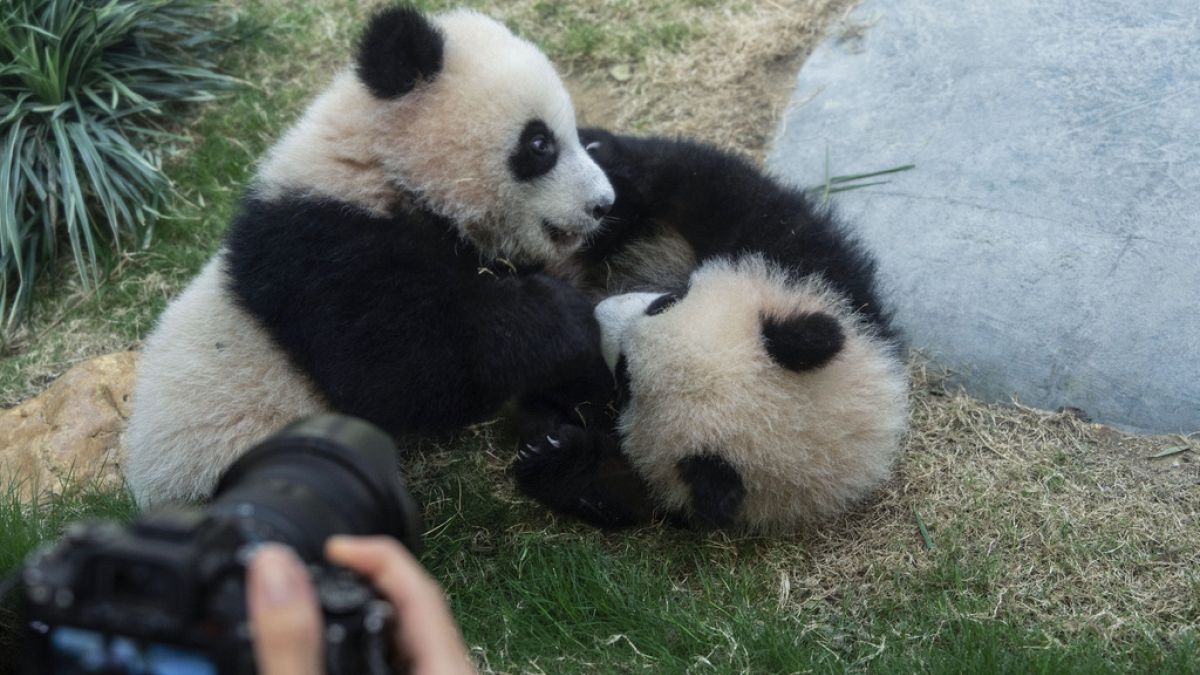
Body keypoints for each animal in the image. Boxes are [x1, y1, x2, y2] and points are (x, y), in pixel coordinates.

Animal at [125, 5, 615, 507]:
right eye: (540, 143)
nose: (603, 204)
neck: (378, 162)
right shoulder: (321, 251)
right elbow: (398, 368)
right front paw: (564, 315)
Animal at [511, 131, 908, 531]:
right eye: (667, 301)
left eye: (625, 379)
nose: (598, 314)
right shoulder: (823, 277)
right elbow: (716, 188)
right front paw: (603, 157)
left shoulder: (665, 494)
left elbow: (614, 486)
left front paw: (554, 454)